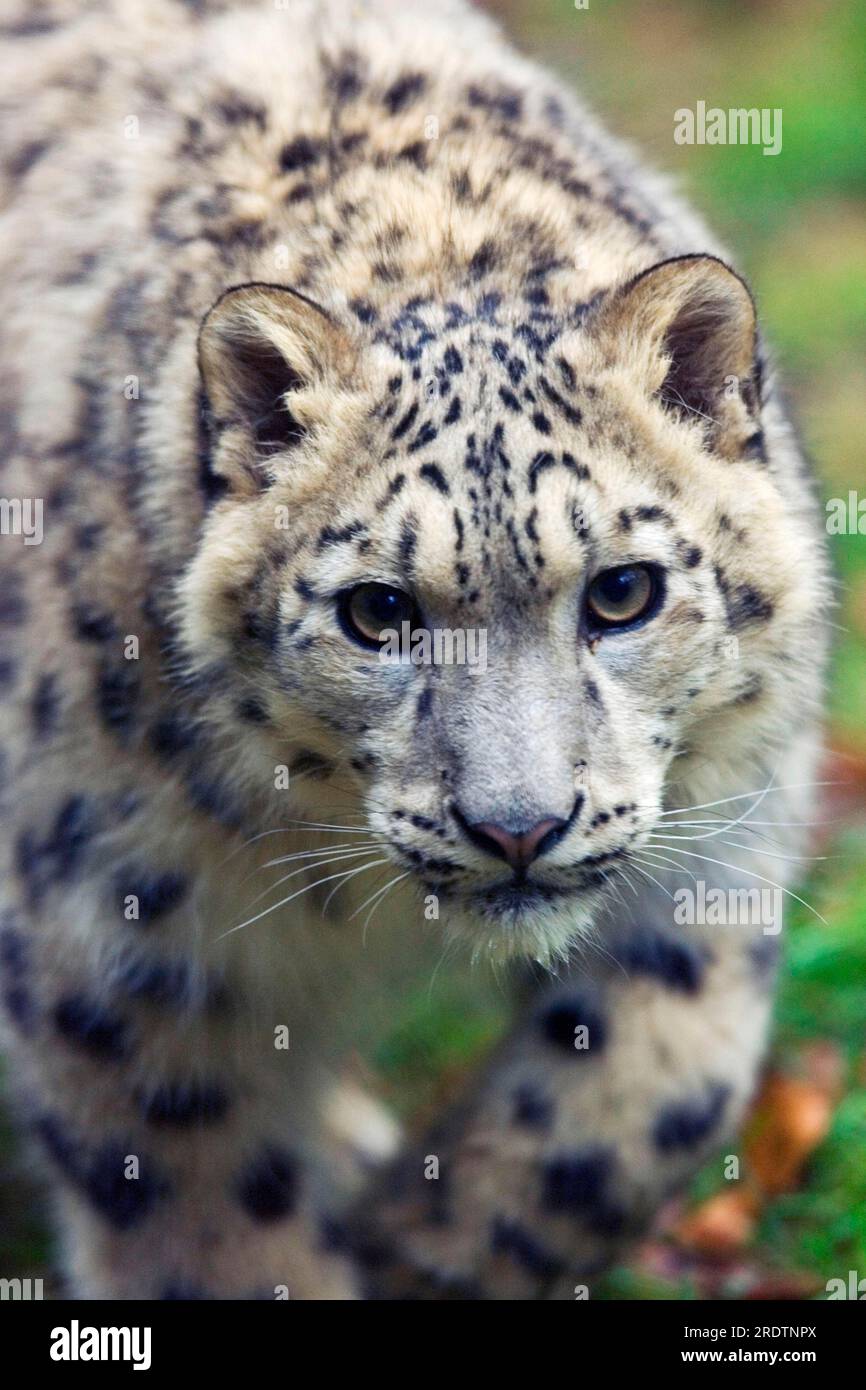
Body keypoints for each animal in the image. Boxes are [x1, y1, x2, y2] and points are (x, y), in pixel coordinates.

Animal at [0, 0, 829, 1299]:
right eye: (377, 611)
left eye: (623, 592)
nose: (518, 828)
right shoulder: (115, 936)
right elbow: (197, 1205)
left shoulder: (720, 829)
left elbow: (649, 1086)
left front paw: (419, 1241)